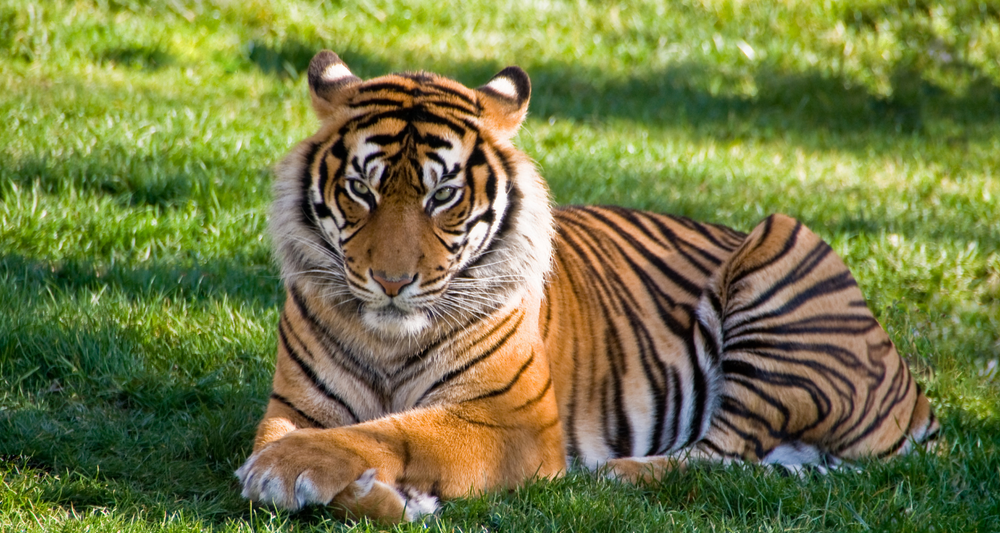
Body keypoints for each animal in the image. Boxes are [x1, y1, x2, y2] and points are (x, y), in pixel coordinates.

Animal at [235, 50, 939, 522]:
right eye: (362, 189)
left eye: (443, 196)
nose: (390, 281)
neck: (388, 339)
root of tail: (916, 395)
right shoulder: (294, 404)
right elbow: (318, 437)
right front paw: (373, 494)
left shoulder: (510, 420)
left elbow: (393, 431)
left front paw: (286, 471)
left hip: (782, 244)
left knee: (723, 453)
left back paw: (617, 474)